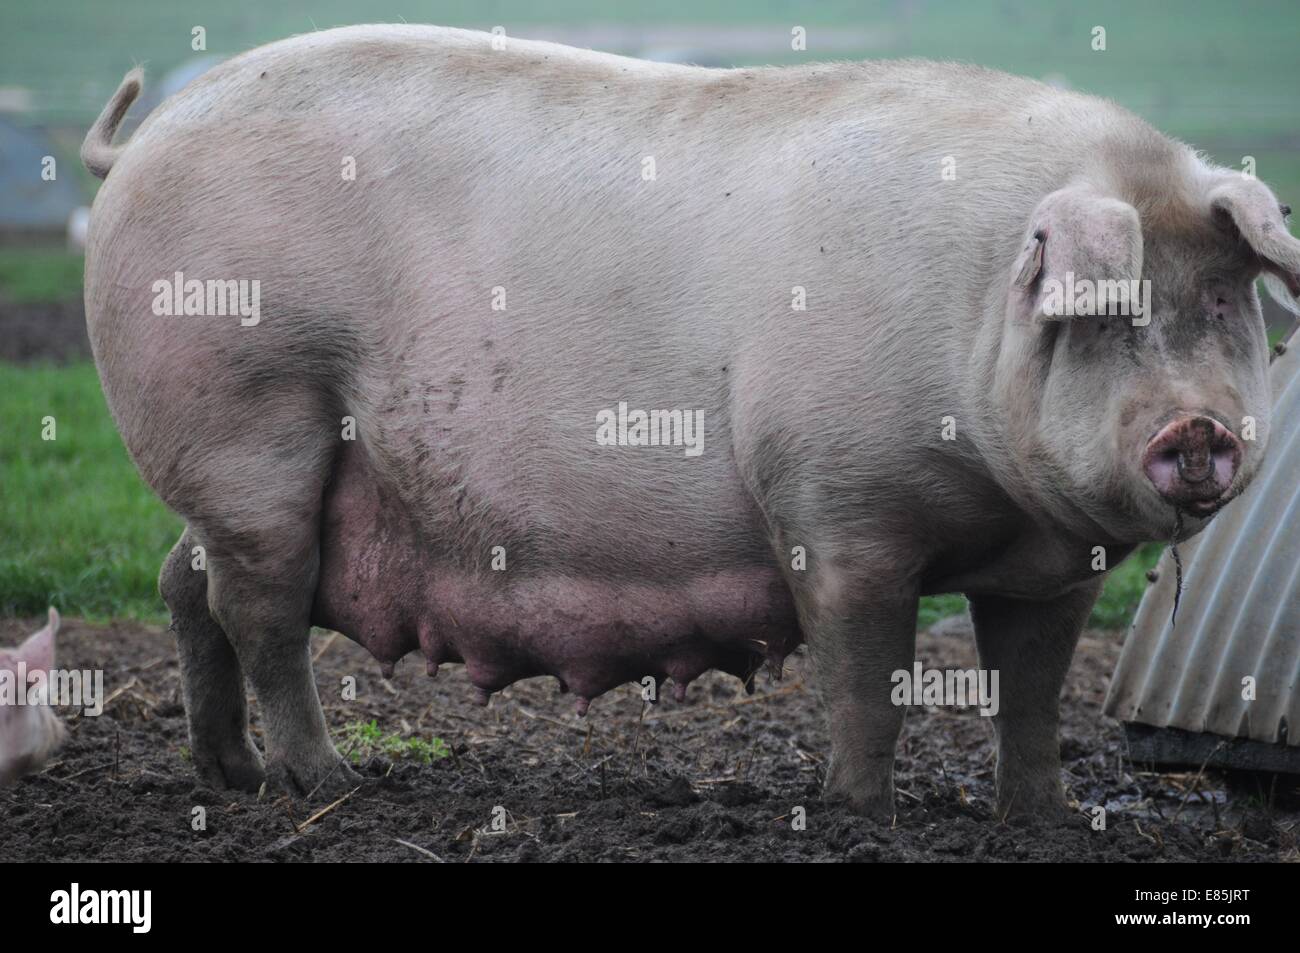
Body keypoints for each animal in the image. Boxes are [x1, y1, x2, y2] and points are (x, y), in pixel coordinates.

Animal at [80, 26, 1298, 819]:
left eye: (1221, 305)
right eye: (1109, 318)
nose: (1198, 430)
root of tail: (141, 143)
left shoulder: (1053, 565)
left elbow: (1033, 693)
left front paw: (1041, 821)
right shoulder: (832, 503)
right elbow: (865, 675)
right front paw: (857, 814)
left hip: (236, 462)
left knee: (184, 582)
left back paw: (231, 777)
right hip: (248, 415)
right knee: (257, 605)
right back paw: (325, 782)